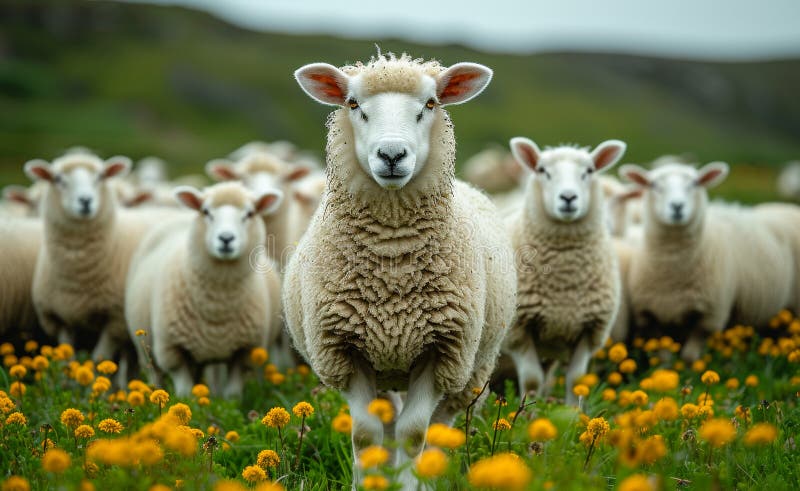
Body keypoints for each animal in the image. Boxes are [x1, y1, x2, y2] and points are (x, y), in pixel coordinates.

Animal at [125, 182, 283, 397]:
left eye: (249, 213)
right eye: (206, 212)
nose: (226, 238)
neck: (218, 303)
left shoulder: (246, 351)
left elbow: (233, 394)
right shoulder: (172, 350)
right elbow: (184, 391)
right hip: (147, 348)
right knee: (155, 375)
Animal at [289, 53, 516, 489]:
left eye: (430, 104)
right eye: (353, 104)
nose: (392, 155)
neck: (392, 262)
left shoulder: (442, 350)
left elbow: (414, 433)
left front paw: (412, 482)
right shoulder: (345, 350)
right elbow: (366, 435)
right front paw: (369, 482)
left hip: (469, 371)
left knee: (440, 427)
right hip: (387, 368)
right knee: (389, 424)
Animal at [502, 138, 625, 406]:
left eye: (589, 171)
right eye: (542, 170)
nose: (568, 197)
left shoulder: (589, 330)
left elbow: (576, 380)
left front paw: (573, 413)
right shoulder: (519, 331)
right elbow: (532, 380)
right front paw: (525, 414)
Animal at [620, 161, 800, 361]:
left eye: (695, 183)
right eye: (653, 185)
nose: (677, 206)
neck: (672, 271)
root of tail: (786, 207)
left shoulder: (710, 317)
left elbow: (689, 357)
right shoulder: (650, 316)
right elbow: (664, 357)